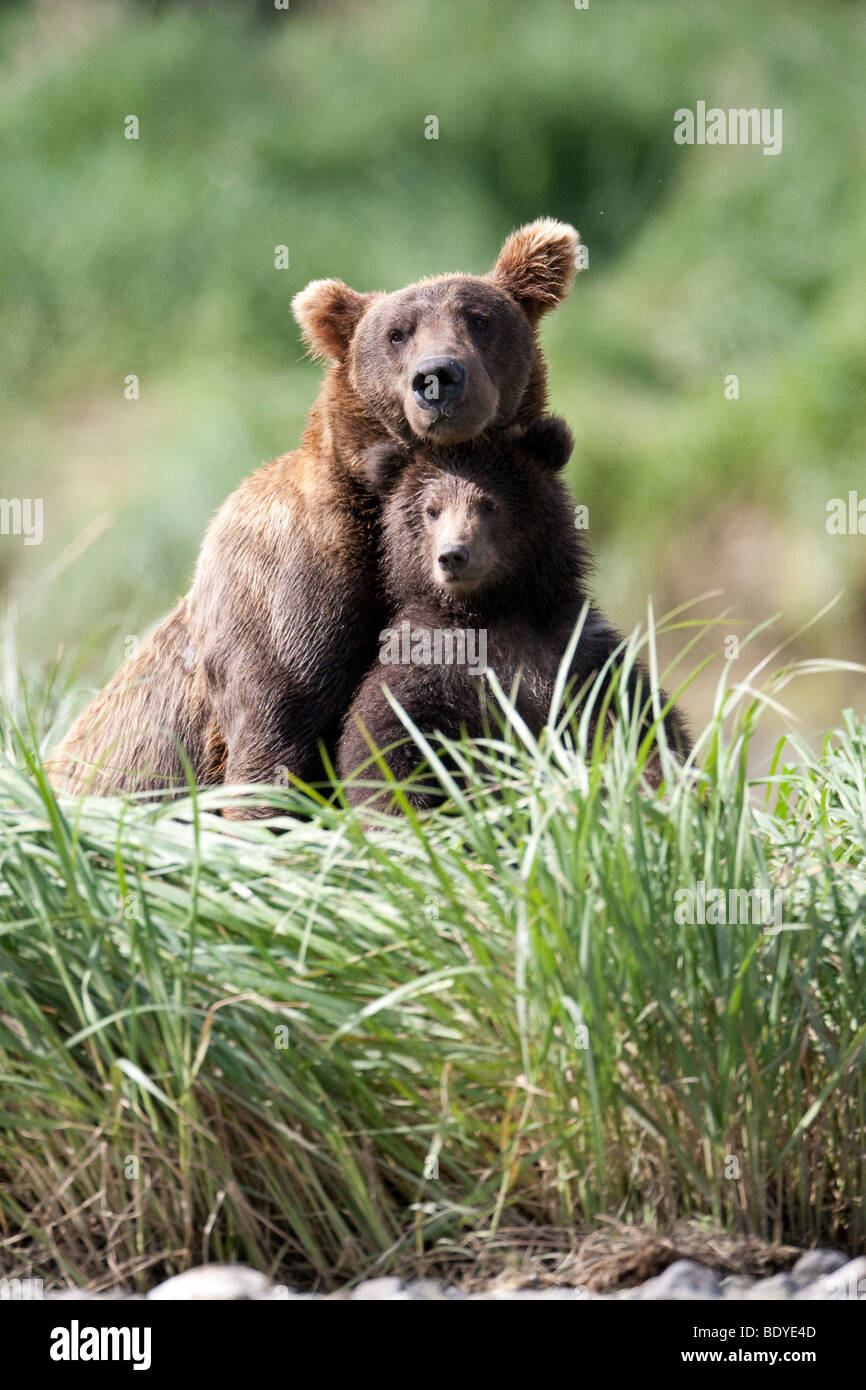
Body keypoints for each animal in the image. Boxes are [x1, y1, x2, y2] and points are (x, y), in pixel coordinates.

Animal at [337, 416, 690, 812]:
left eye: (488, 504)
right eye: (431, 510)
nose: (453, 555)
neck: (493, 611)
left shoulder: (577, 652)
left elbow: (637, 722)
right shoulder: (424, 661)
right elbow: (385, 746)